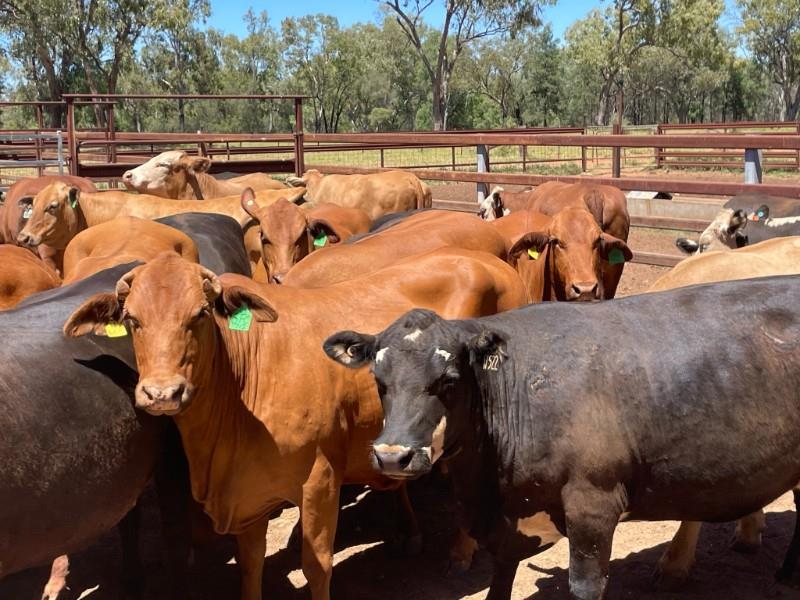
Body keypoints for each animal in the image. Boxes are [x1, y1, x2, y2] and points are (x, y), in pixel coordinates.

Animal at [62, 246, 526, 600]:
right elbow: (250, 564)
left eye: (199, 315)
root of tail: (493, 262)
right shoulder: (248, 494)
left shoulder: (321, 479)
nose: (162, 394)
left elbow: (316, 565)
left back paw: (462, 551)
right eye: (132, 319)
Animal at [324, 275, 800, 600]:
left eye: (449, 380)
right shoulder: (507, 523)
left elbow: (584, 585)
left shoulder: (594, 505)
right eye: (379, 381)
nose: (392, 456)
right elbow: (500, 577)